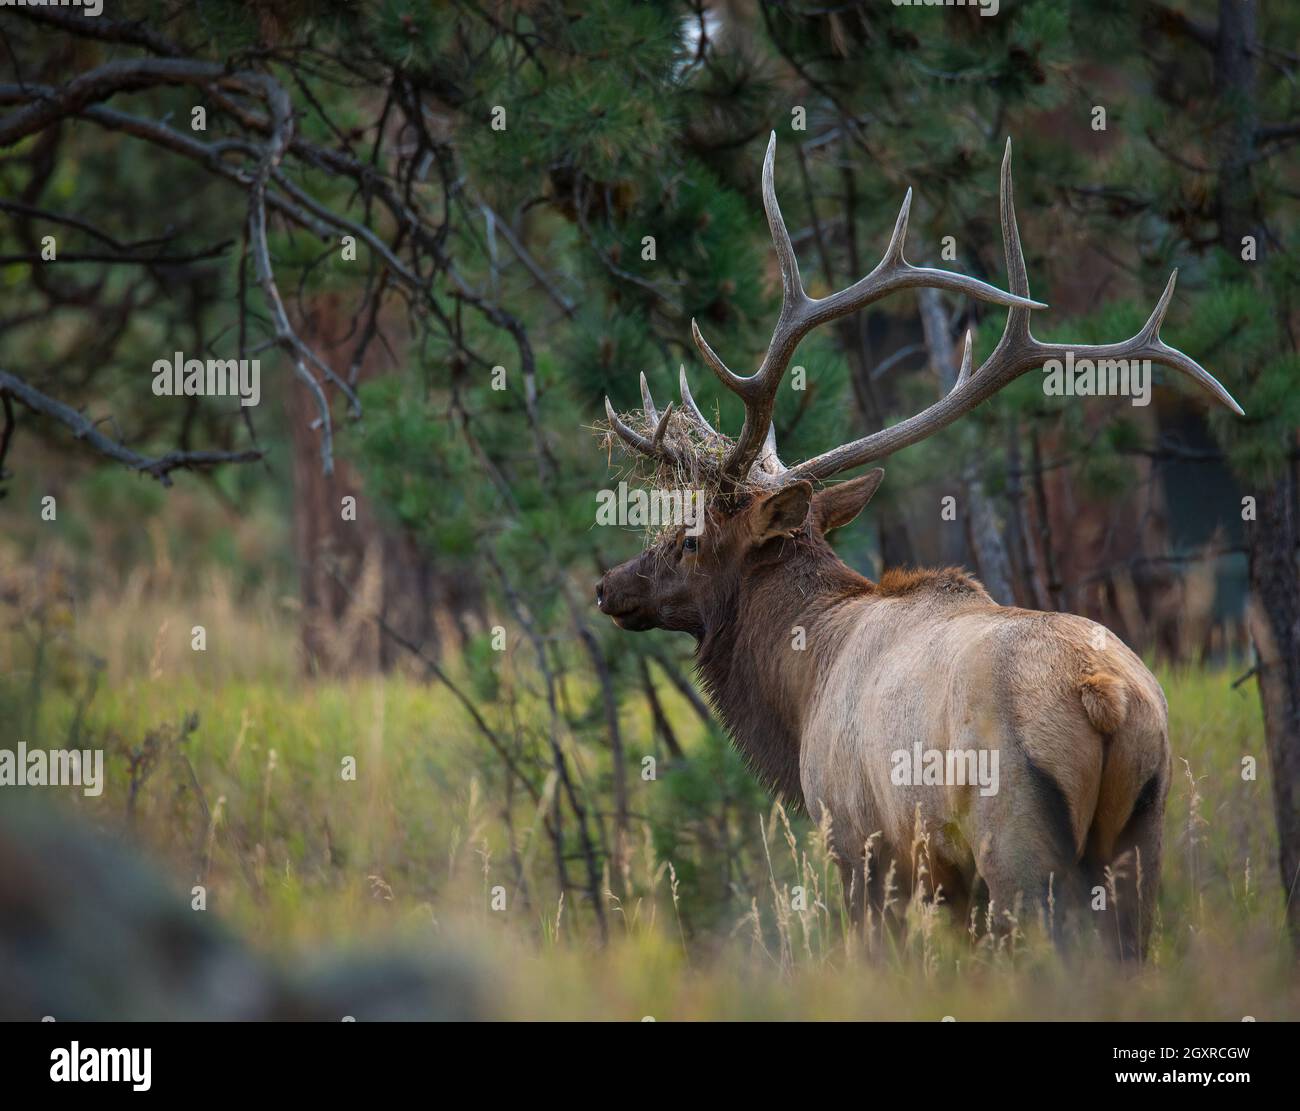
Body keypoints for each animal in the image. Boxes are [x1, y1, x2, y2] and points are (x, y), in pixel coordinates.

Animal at [594, 134, 1243, 959]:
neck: (800, 686)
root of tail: (1106, 696)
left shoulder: (858, 841)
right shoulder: (945, 877)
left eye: (687, 537)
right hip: (1141, 836)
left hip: (1017, 843)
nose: (608, 585)